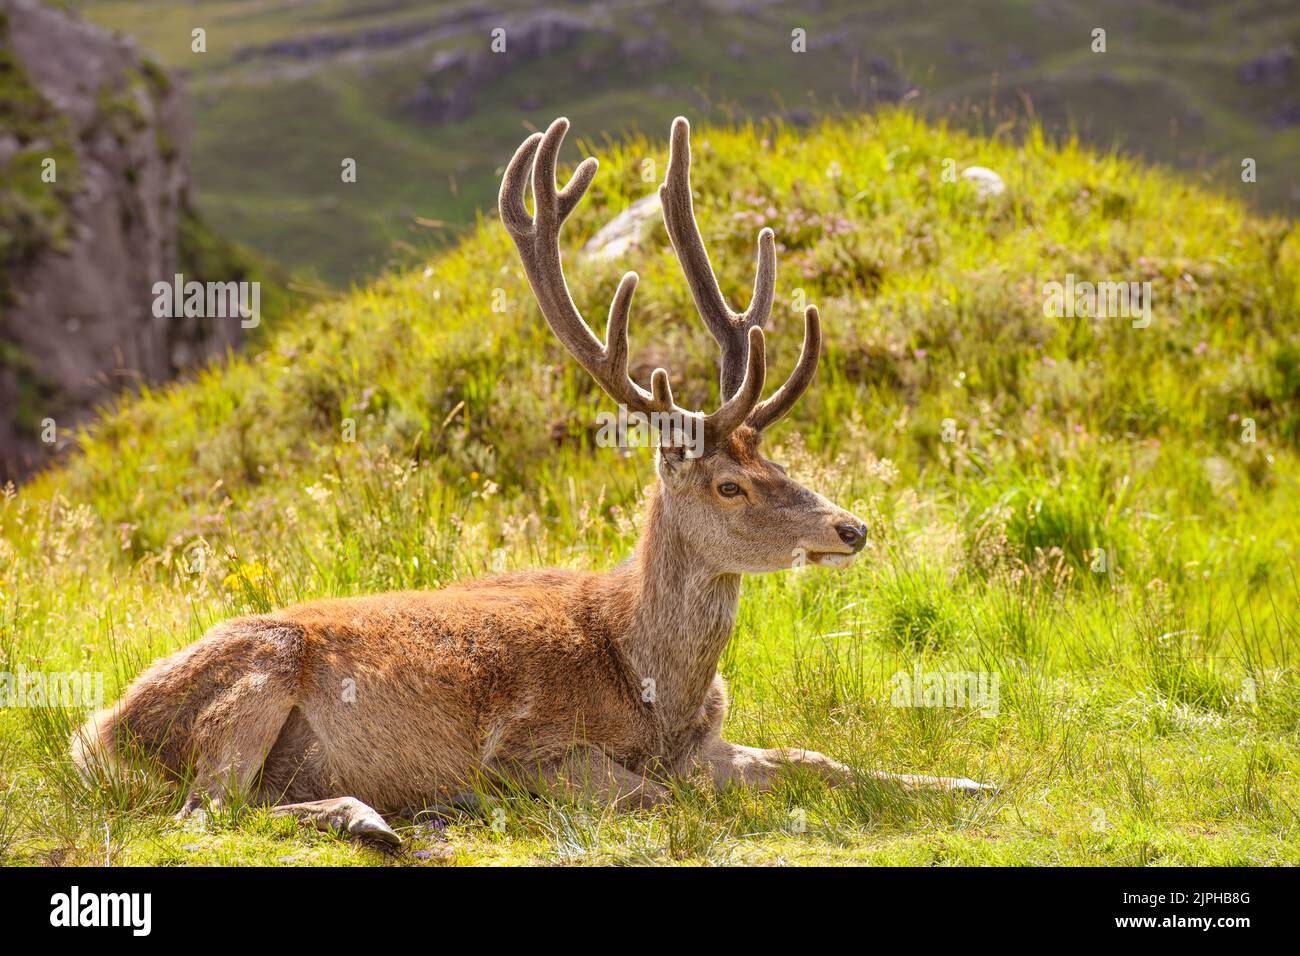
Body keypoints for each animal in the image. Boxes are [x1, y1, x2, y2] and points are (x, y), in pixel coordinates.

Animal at [72, 117, 991, 847]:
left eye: (780, 460)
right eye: (731, 485)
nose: (851, 527)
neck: (649, 683)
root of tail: (94, 736)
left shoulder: (706, 745)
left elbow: (821, 758)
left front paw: (965, 782)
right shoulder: (526, 747)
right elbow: (667, 801)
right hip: (253, 677)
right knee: (205, 812)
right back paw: (371, 815)